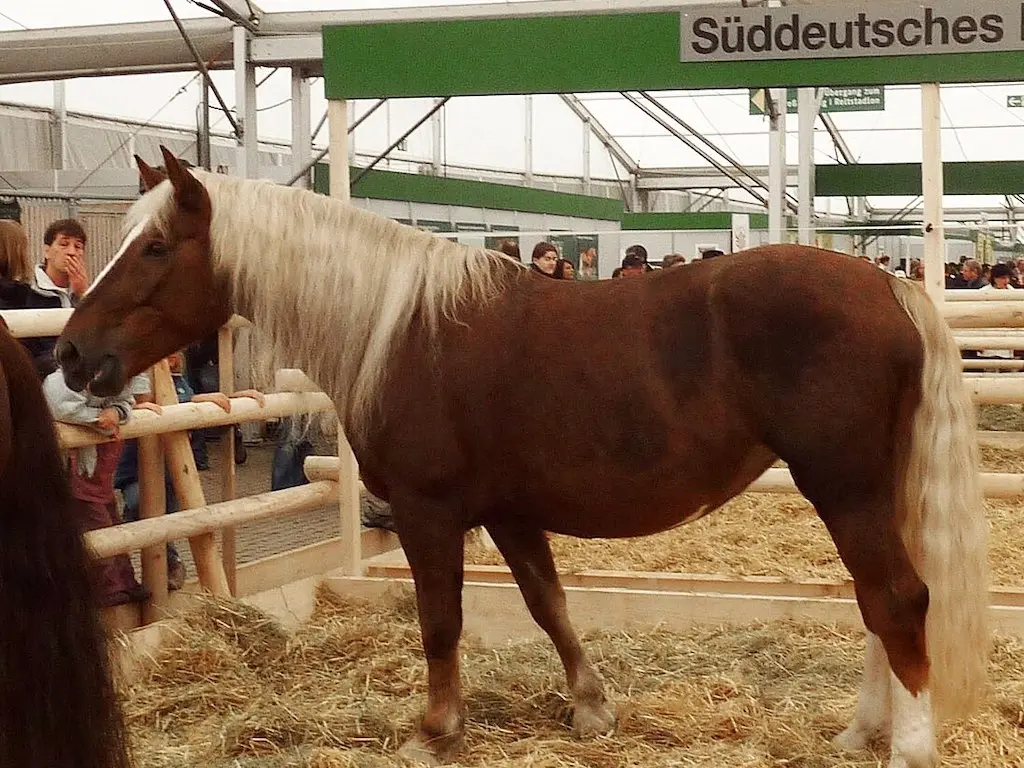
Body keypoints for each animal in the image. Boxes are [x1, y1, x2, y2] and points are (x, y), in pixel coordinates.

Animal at [56, 147, 988, 768]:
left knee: (897, 601)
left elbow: (441, 622)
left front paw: (435, 730)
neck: (400, 327)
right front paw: (591, 707)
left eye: (154, 248)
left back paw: (905, 747)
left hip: (845, 487)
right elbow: (549, 605)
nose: (70, 354)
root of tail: (888, 285)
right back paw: (862, 730)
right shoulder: (508, 513)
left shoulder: (431, 513)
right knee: (878, 607)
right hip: (869, 492)